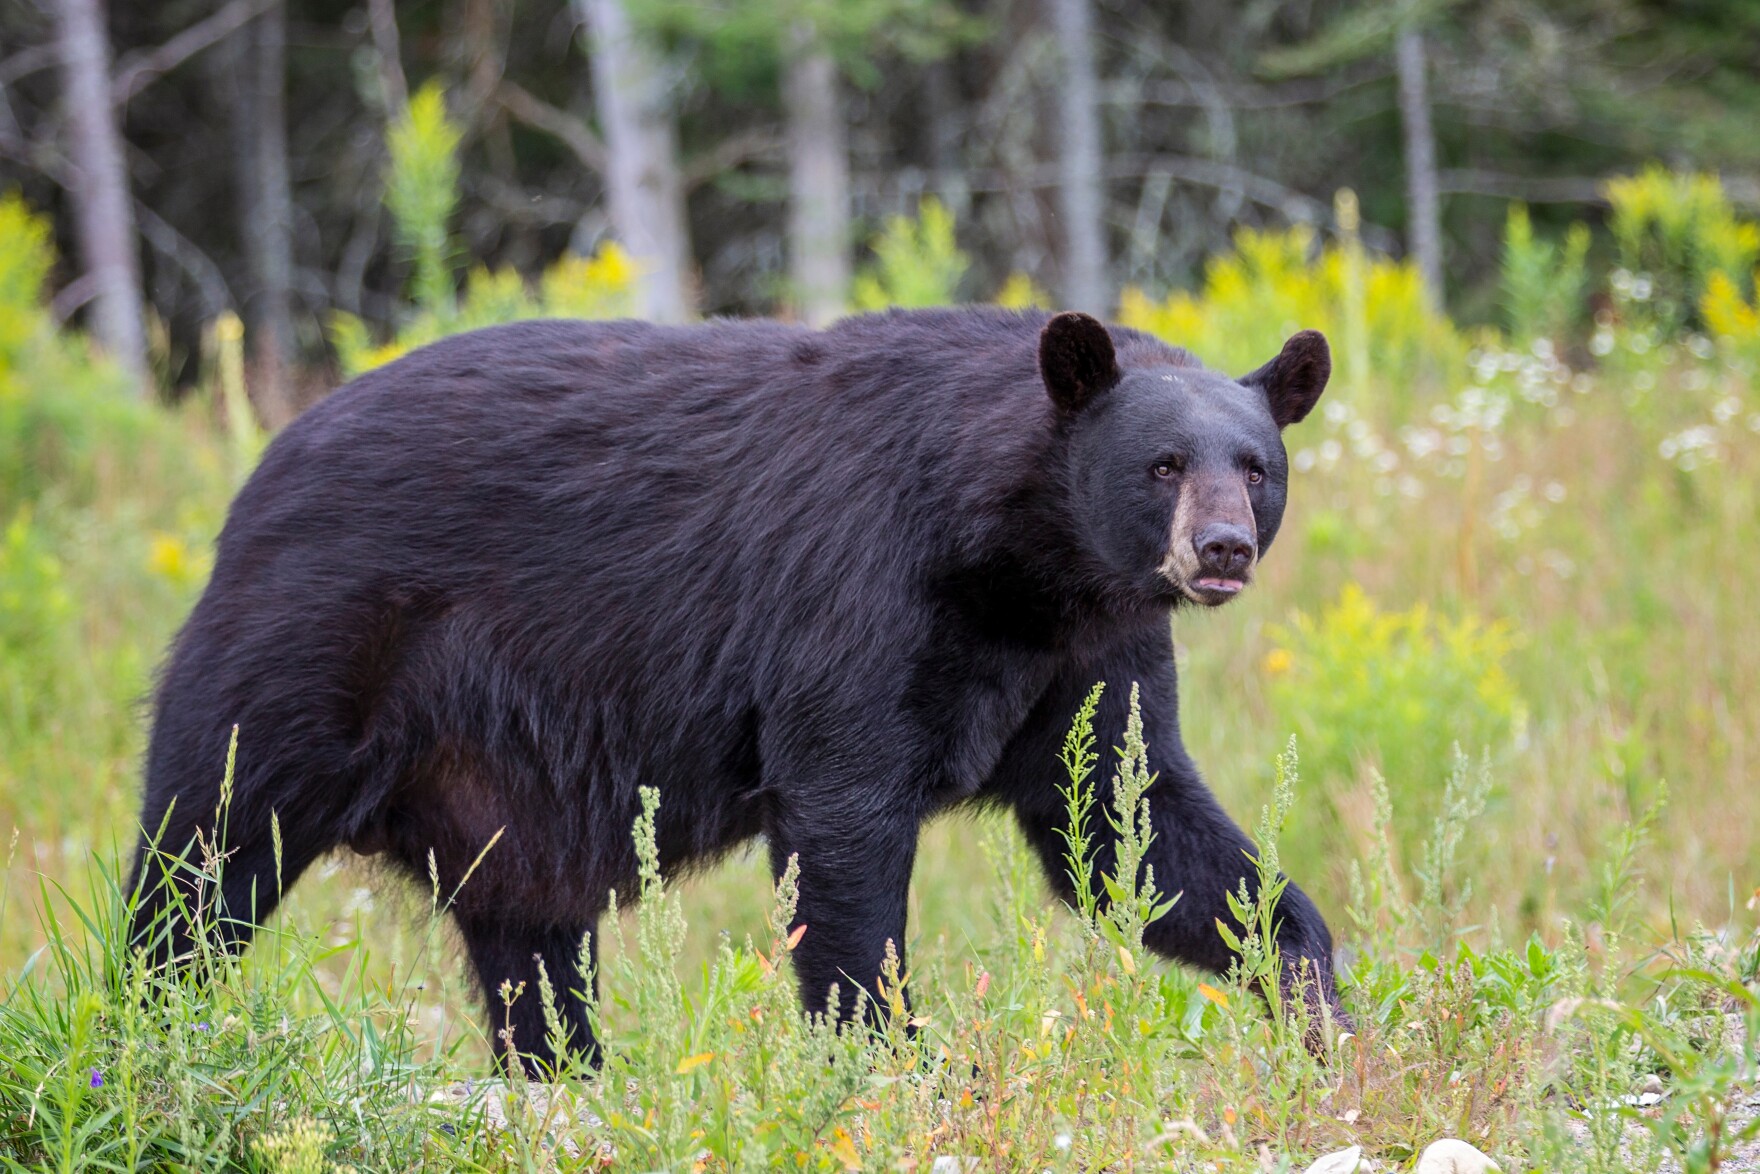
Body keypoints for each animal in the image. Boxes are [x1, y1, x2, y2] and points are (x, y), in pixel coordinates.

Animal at [129, 307, 1340, 1071]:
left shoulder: (1089, 655)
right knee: (199, 863)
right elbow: (844, 827)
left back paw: (568, 1079)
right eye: (1162, 465)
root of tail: (259, 471)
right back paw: (153, 1035)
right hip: (299, 658)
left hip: (496, 791)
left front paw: (1321, 1012)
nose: (1223, 548)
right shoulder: (853, 596)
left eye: (1256, 467)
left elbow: (1125, 821)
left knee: (532, 947)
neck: (1018, 566)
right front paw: (891, 1061)